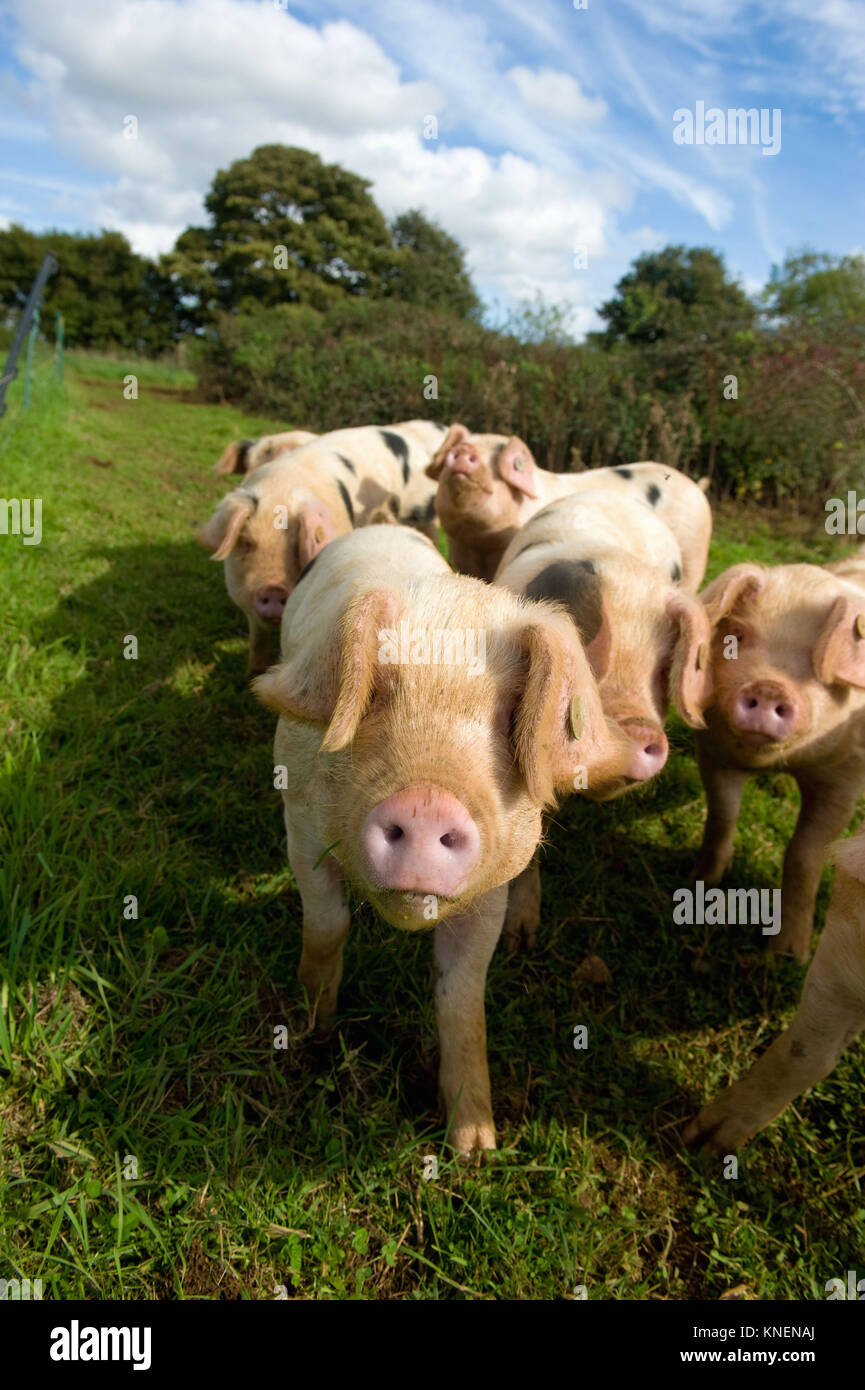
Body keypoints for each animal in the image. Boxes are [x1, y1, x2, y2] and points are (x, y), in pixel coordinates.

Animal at [199, 420, 446, 675]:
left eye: (296, 546)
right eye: (246, 543)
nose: (273, 589)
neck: (281, 489)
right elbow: (258, 639)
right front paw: (252, 675)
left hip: (426, 514)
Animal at [252, 525, 643, 1153]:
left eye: (510, 713)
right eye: (376, 691)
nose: (426, 800)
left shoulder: (493, 889)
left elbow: (462, 998)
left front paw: (475, 1148)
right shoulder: (301, 828)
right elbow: (327, 927)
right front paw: (312, 1030)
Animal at [427, 422, 711, 584]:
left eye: (498, 457)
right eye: (463, 445)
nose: (464, 451)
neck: (482, 547)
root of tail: (696, 487)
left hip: (694, 554)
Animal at [692, 552, 865, 962]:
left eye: (819, 665)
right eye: (736, 639)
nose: (769, 687)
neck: (777, 766)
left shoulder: (843, 780)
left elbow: (805, 854)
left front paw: (789, 956)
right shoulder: (714, 752)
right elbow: (721, 816)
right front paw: (700, 880)